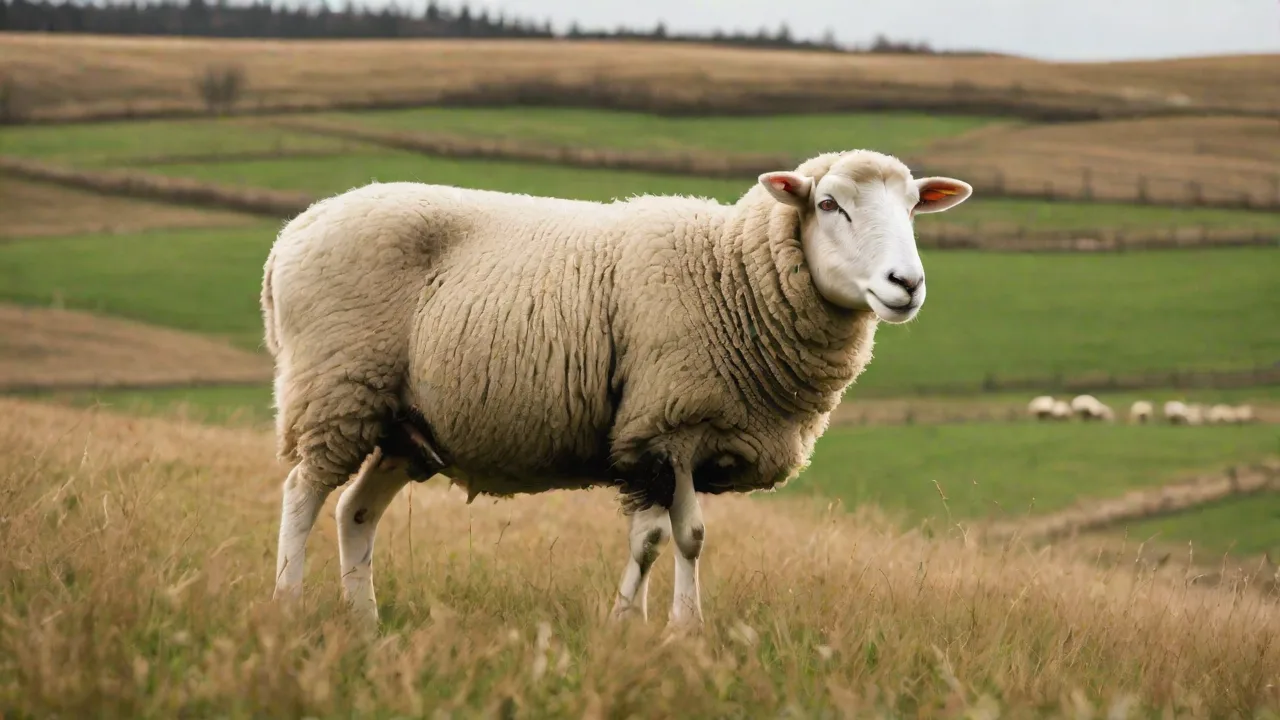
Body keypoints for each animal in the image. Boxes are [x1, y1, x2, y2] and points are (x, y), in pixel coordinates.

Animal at [260, 149, 974, 629]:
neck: (732, 276)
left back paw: (365, 623)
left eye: (913, 207)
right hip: (335, 389)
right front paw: (636, 627)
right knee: (302, 494)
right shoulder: (657, 428)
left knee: (355, 511)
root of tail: (291, 234)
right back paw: (288, 604)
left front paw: (674, 630)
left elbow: (684, 538)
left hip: (402, 427)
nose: (907, 284)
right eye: (829, 205)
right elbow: (660, 540)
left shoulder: (682, 433)